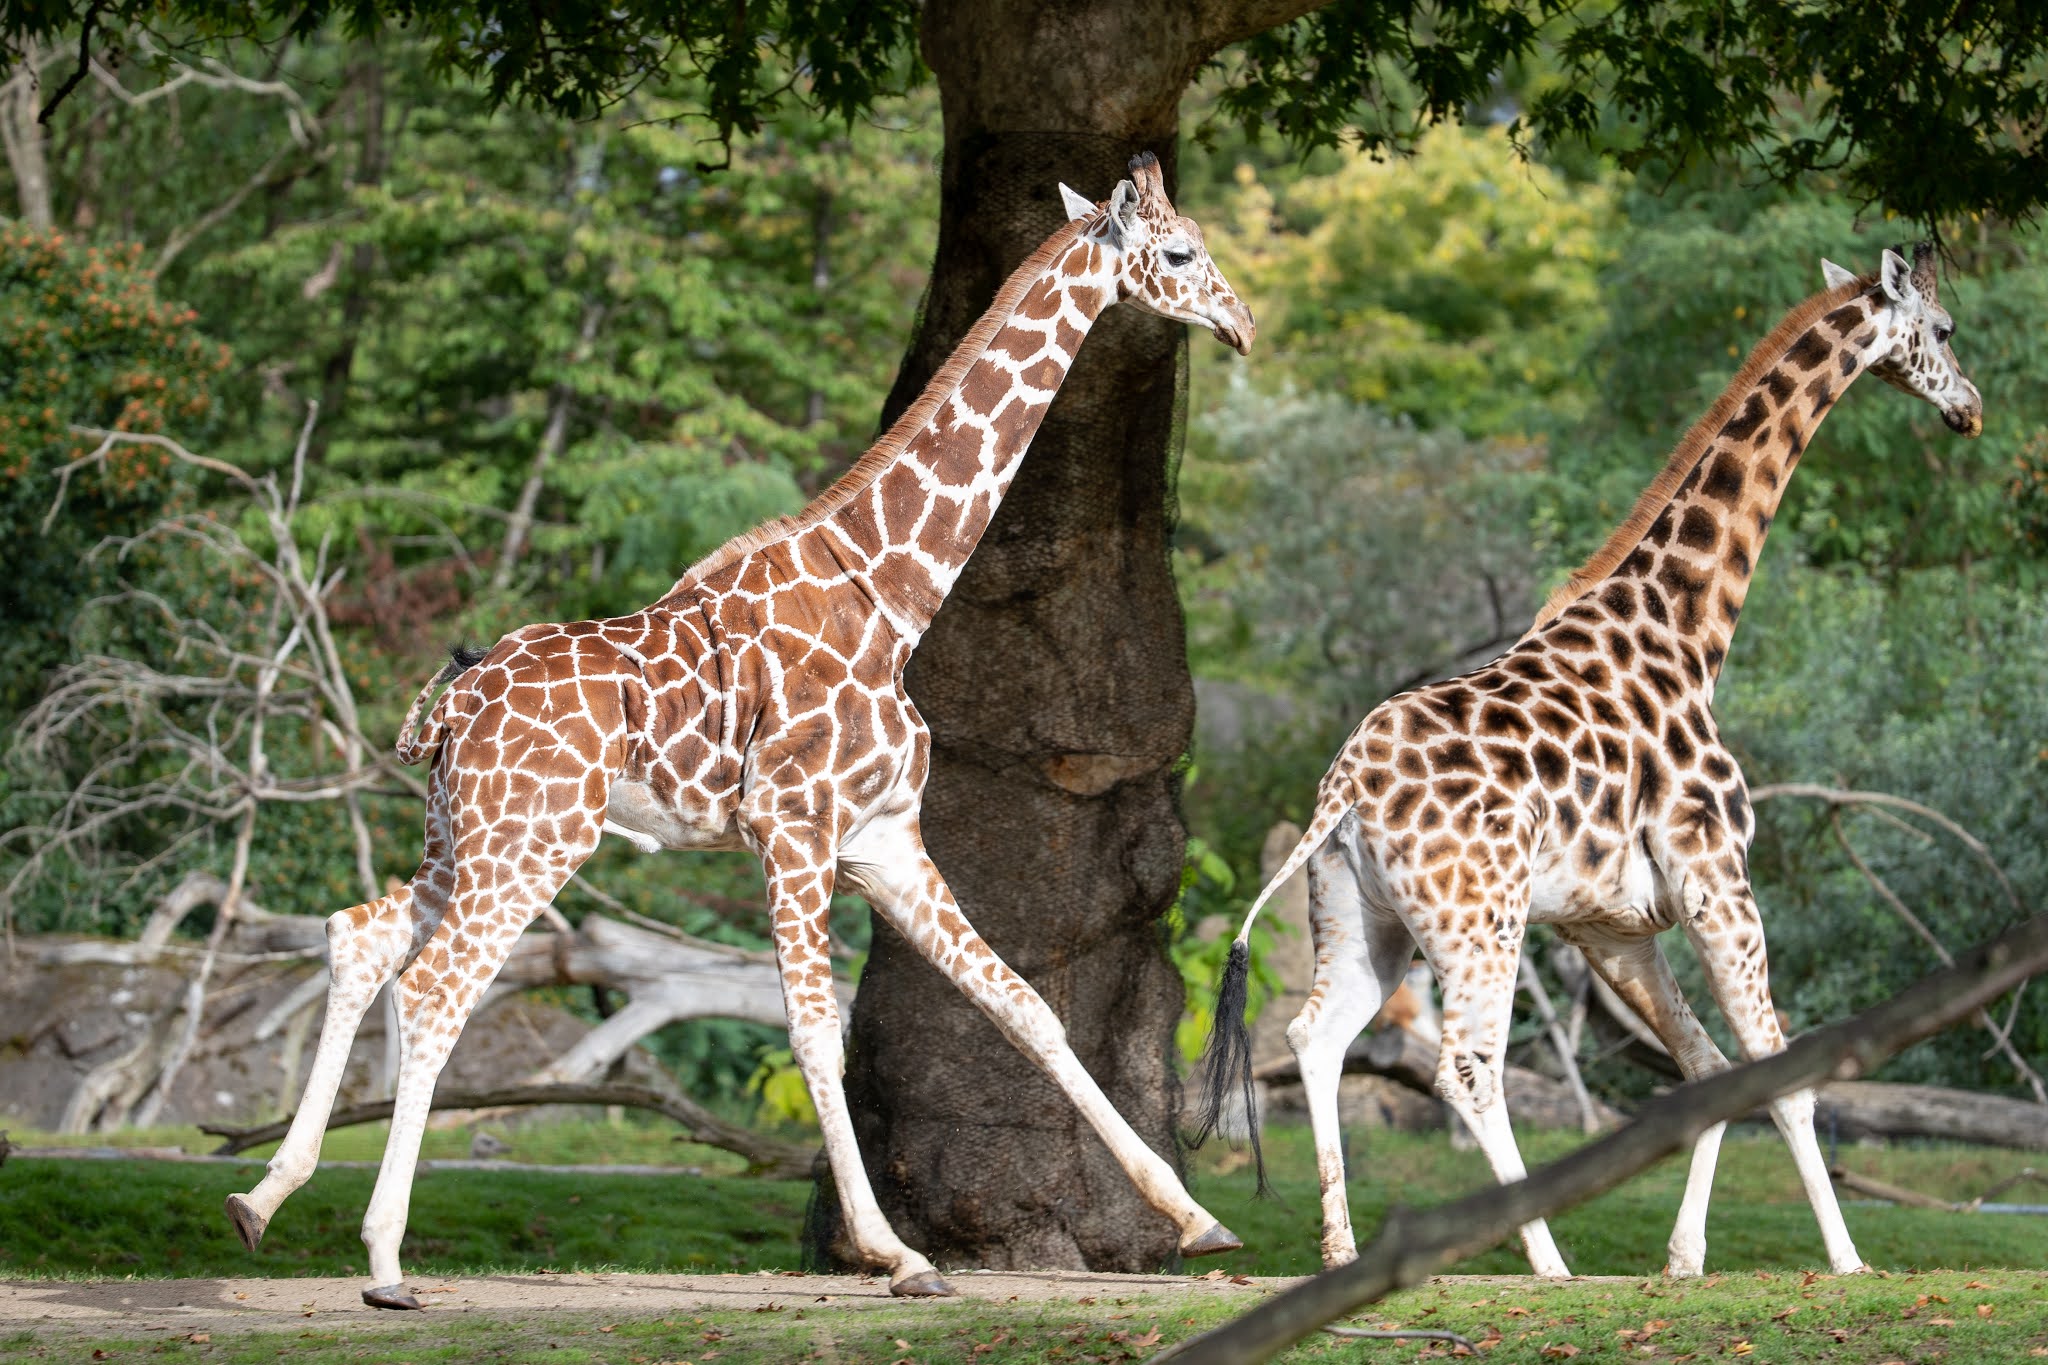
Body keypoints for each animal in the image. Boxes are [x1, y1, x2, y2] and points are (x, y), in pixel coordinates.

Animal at [224, 152, 1256, 1309]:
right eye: (1179, 252)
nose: (1243, 324)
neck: (896, 591)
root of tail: (452, 705)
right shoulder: (793, 827)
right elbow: (812, 1032)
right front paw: (895, 1254)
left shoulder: (883, 838)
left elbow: (1023, 1006)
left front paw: (1197, 1220)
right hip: (538, 842)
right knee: (437, 988)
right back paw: (386, 1260)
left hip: (465, 835)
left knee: (360, 936)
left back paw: (259, 1200)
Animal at [1197, 244, 1979, 1279]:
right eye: (1944, 329)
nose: (1970, 406)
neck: (1691, 631)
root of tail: (1344, 789)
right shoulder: (1718, 877)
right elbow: (1781, 1075)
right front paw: (1849, 1262)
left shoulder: (1609, 924)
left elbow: (1708, 1070)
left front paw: (1683, 1259)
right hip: (1480, 921)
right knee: (1465, 1066)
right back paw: (1547, 1258)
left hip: (1367, 919)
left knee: (1318, 1036)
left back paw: (1339, 1251)